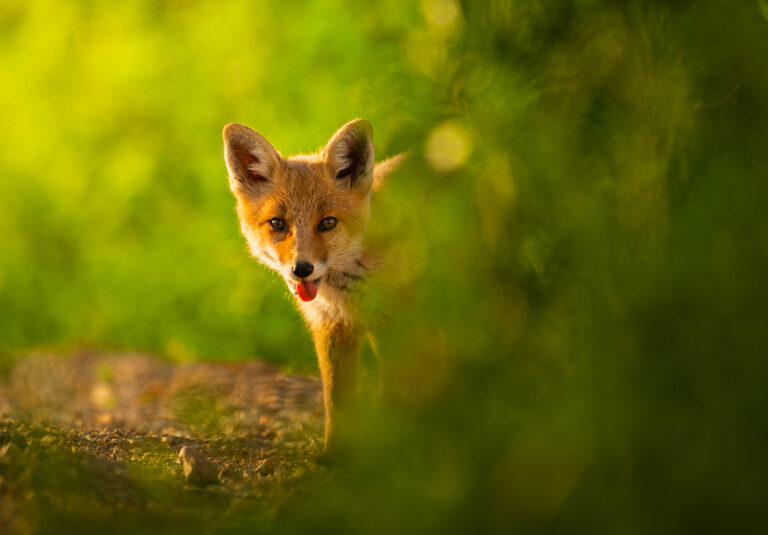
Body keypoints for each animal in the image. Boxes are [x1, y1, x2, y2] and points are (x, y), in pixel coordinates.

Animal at [222, 119, 404, 455]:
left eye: (328, 223)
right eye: (277, 224)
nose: (302, 269)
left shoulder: (396, 324)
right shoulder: (331, 326)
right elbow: (337, 402)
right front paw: (334, 455)